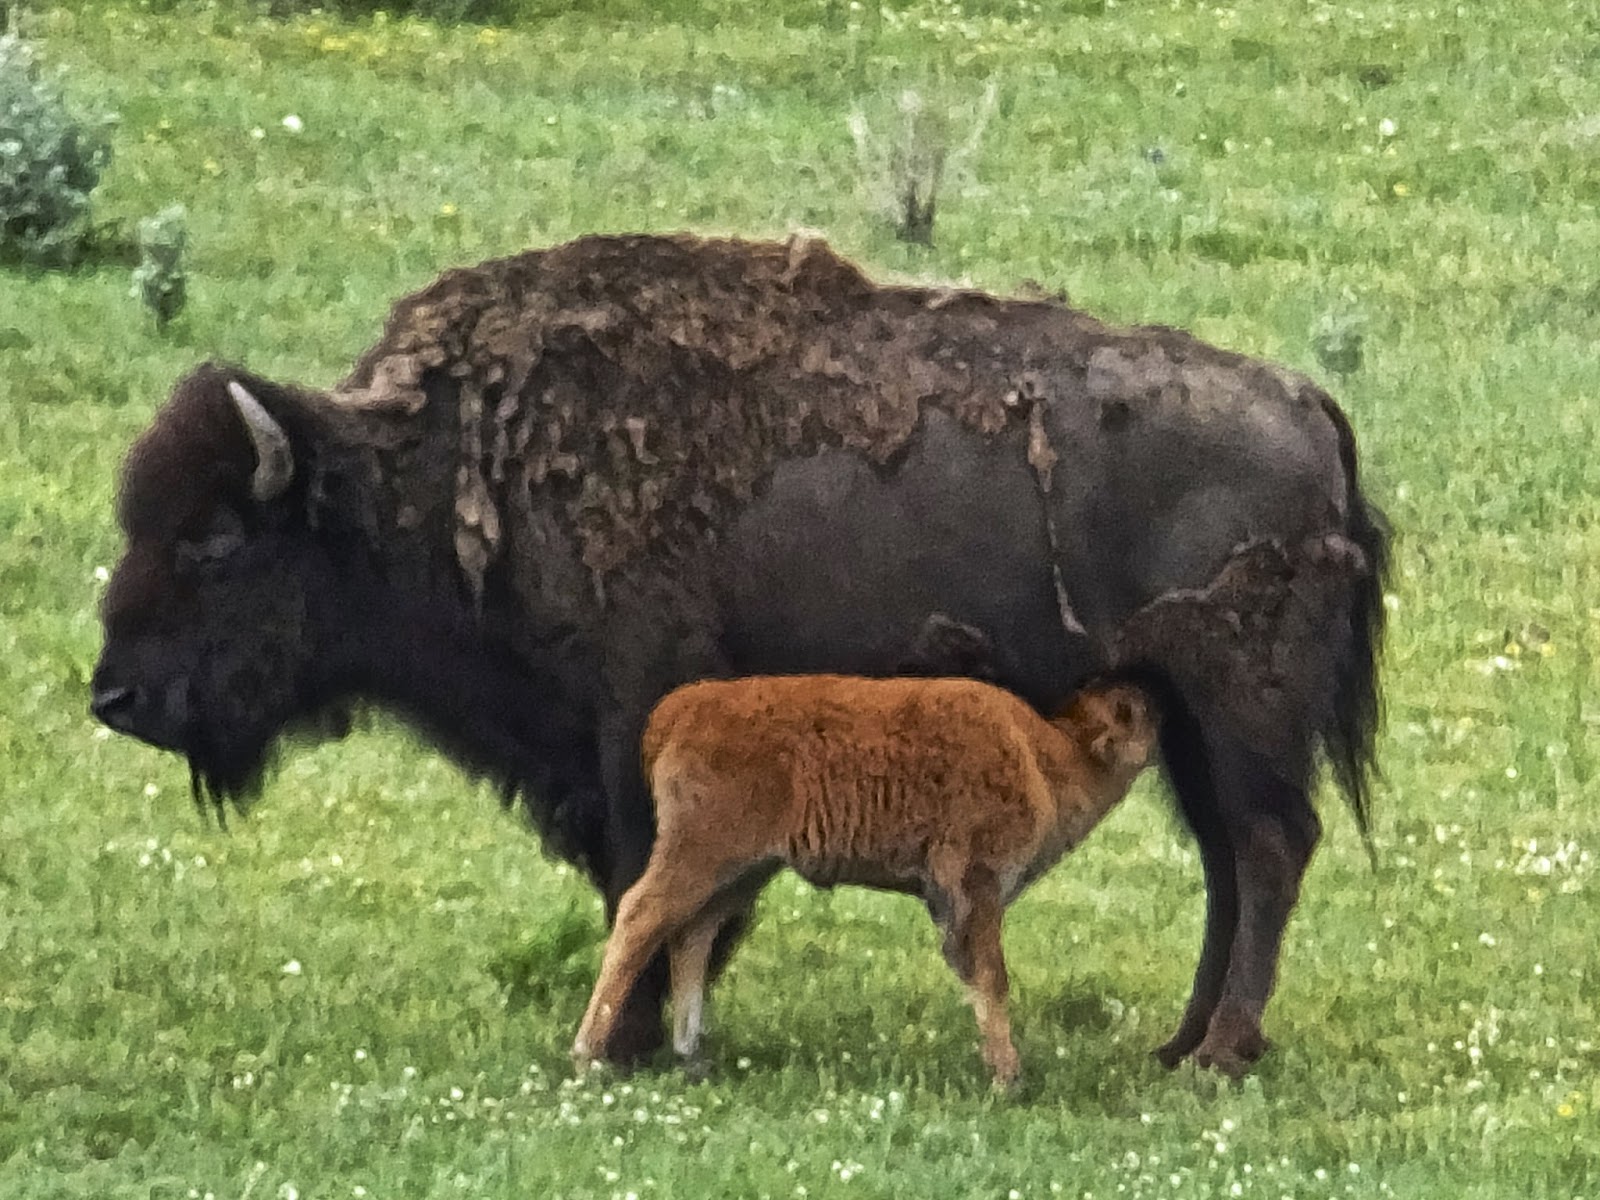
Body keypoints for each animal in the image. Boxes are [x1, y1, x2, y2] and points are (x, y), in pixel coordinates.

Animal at [91, 233, 1387, 1076]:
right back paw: (1181, 1044)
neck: (442, 474)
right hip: (1184, 717)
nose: (116, 695)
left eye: (212, 539)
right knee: (1227, 858)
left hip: (1239, 708)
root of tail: (1306, 402)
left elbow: (643, 881)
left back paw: (1220, 1053)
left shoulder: (631, 723)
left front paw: (622, 1042)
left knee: (1265, 849)